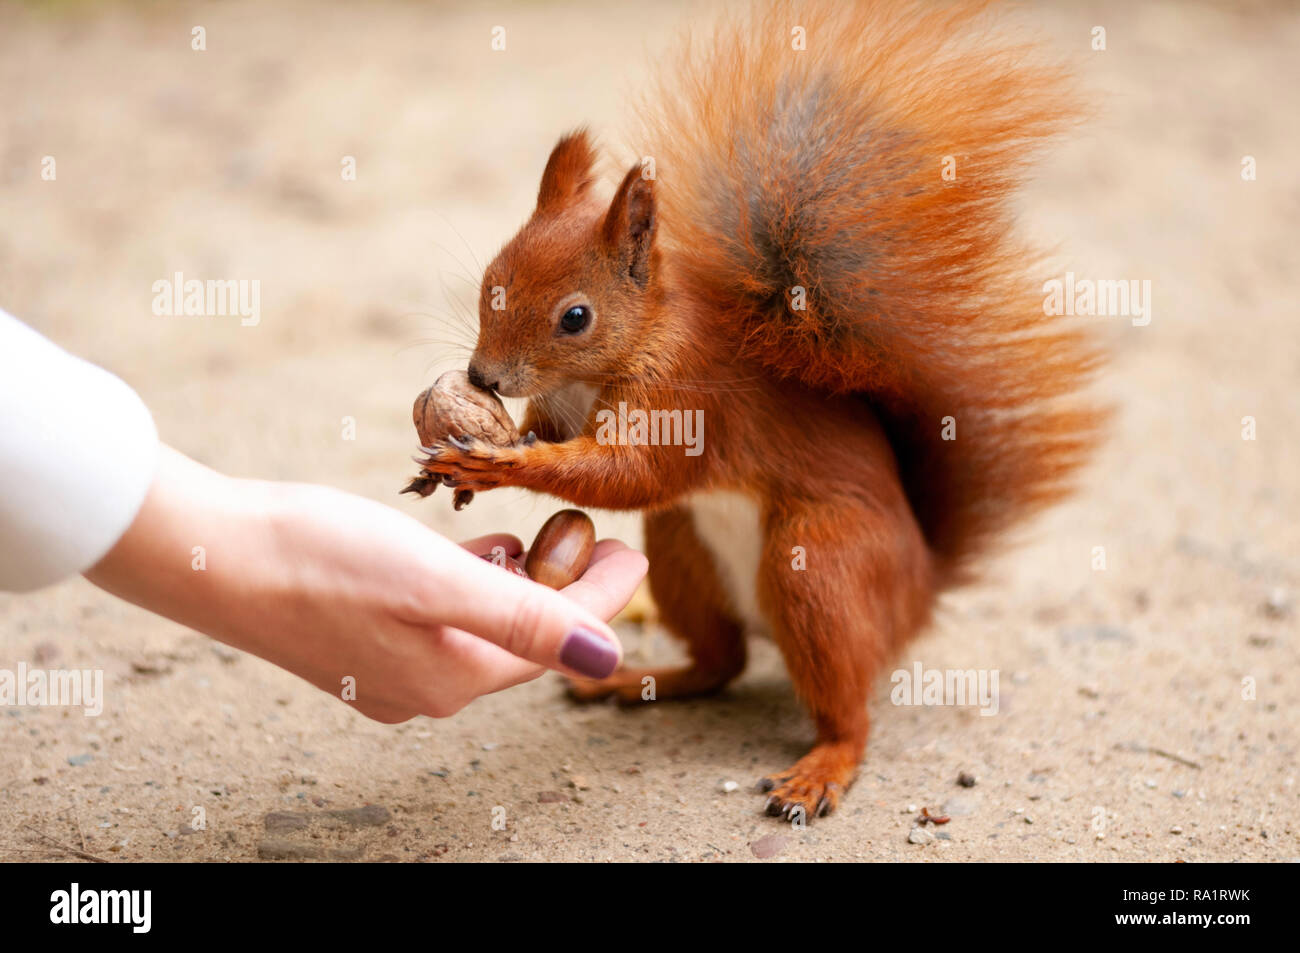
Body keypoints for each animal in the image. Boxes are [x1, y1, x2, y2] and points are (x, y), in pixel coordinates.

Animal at [417, 0, 1102, 820]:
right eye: (492, 275)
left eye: (575, 317)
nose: (480, 373)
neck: (619, 353)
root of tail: (918, 591)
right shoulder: (563, 407)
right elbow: (562, 440)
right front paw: (453, 462)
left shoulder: (682, 398)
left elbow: (627, 473)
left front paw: (494, 463)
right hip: (682, 549)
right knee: (723, 661)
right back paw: (639, 682)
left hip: (819, 565)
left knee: (847, 711)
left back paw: (820, 769)